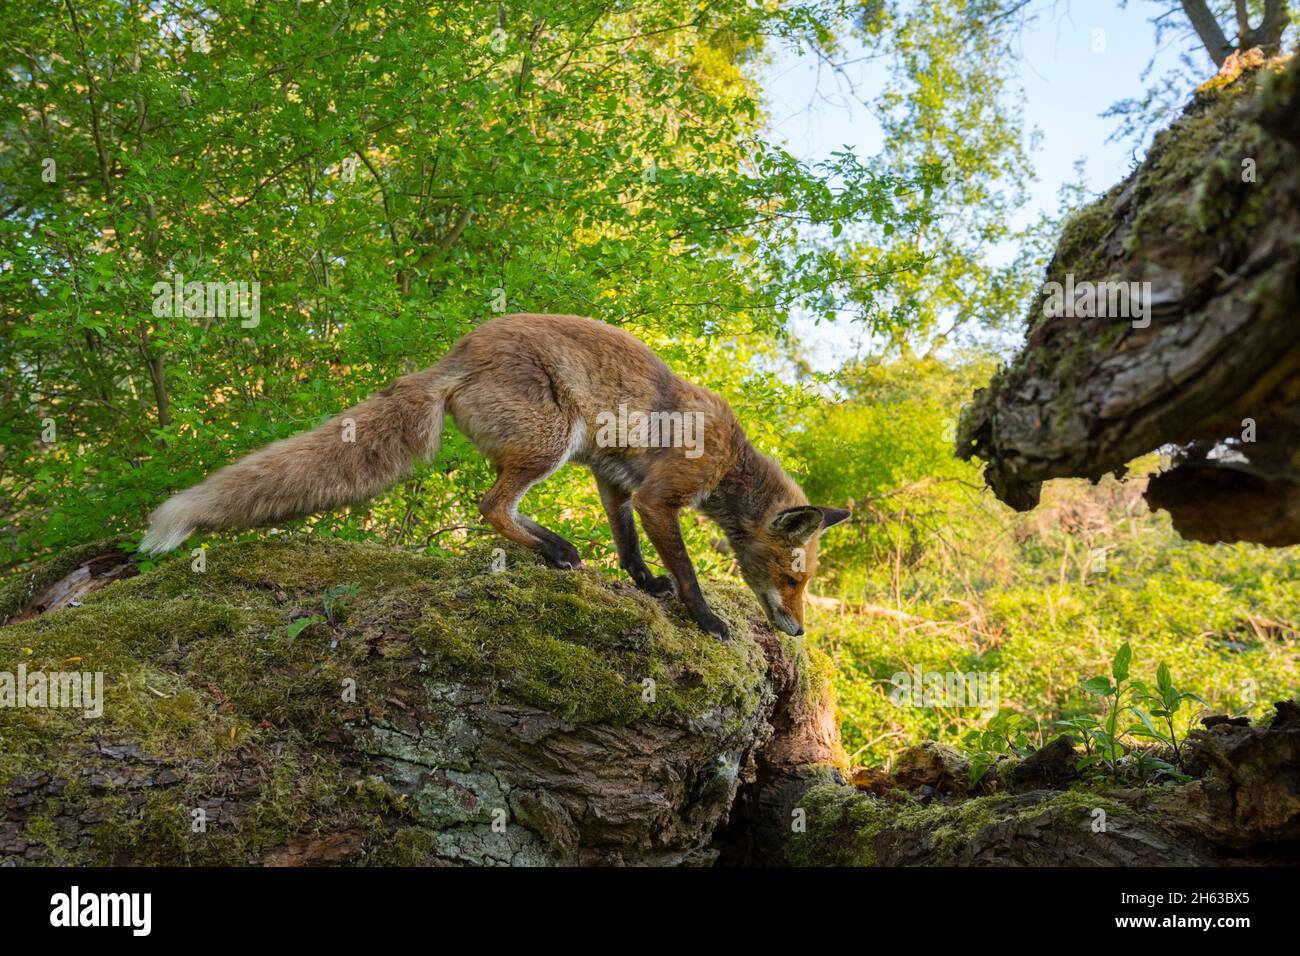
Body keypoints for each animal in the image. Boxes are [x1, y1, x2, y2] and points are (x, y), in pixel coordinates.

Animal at [140, 313, 849, 641]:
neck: (731, 464)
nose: (799, 631)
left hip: (551, 450)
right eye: (793, 579)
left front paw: (645, 584)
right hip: (551, 443)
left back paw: (557, 547)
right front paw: (704, 618)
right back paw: (553, 552)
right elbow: (688, 570)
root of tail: (455, 355)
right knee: (490, 506)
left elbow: (627, 547)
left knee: (501, 505)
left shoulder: (615, 483)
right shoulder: (658, 496)